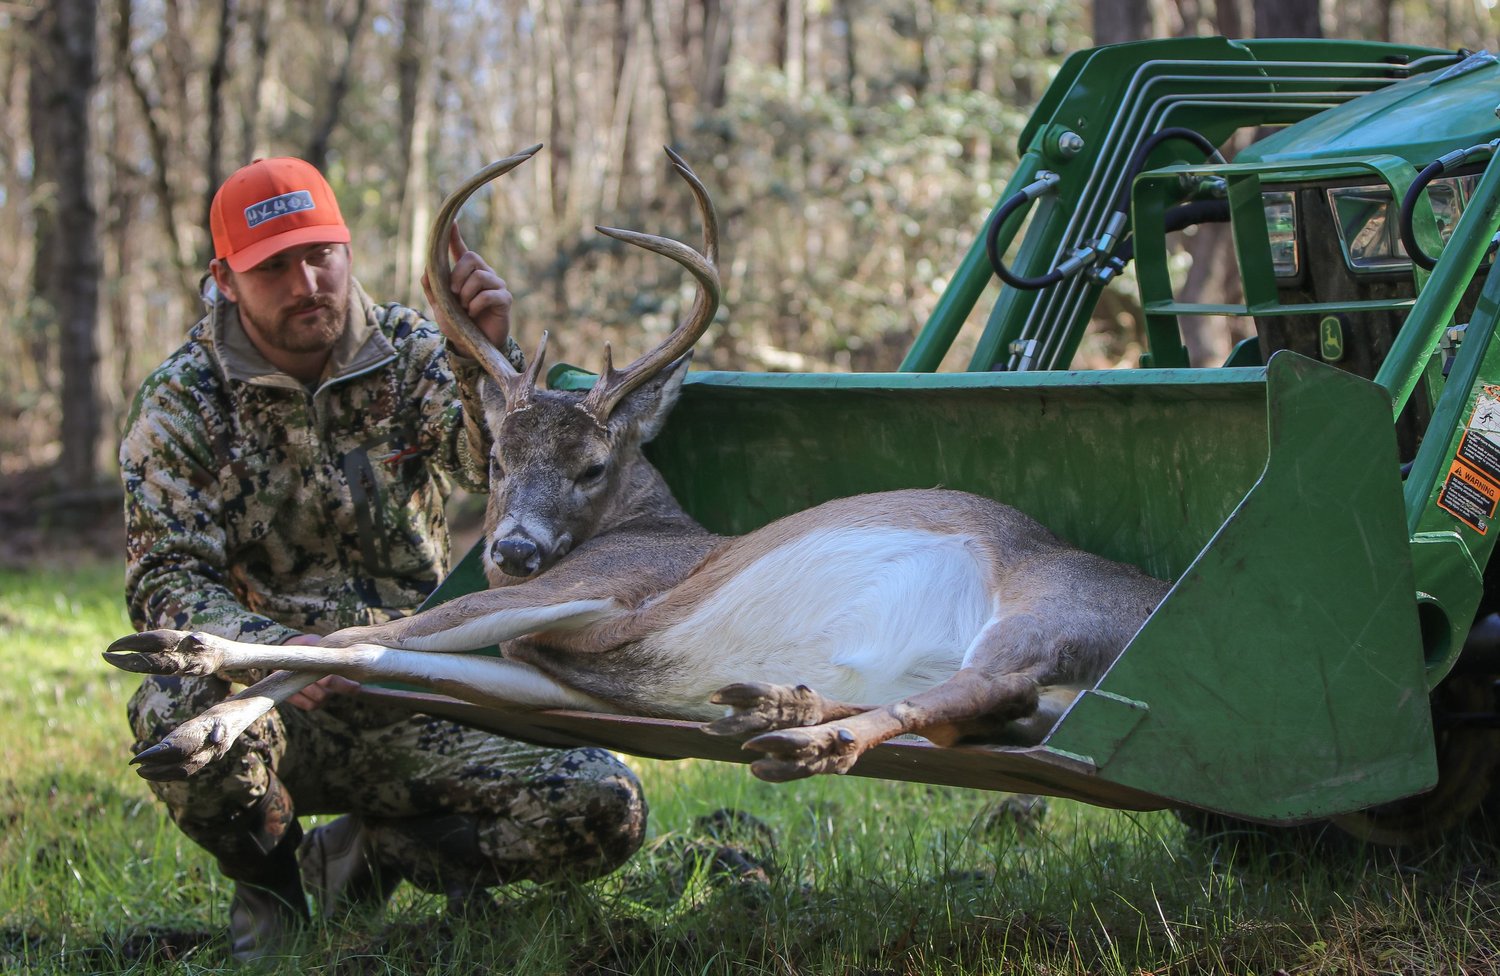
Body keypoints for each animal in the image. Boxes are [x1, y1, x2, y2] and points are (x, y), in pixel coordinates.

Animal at [104, 145, 1171, 786]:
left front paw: (184, 667)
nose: (514, 550)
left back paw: (805, 734)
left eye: (592, 466)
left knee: (980, 688)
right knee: (1002, 710)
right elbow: (382, 652)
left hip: (1043, 601)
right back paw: (772, 707)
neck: (648, 526)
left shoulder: (611, 591)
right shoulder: (555, 674)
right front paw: (201, 726)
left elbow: (364, 637)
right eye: (495, 460)